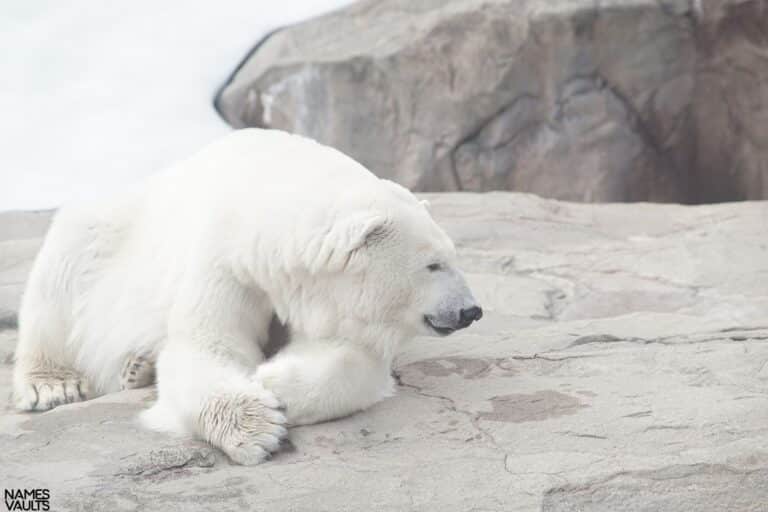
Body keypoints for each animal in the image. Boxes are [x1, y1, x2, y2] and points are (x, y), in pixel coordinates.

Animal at [13, 128, 482, 464]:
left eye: (452, 255)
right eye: (433, 265)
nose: (471, 310)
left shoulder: (323, 298)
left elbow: (354, 356)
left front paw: (274, 382)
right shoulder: (226, 260)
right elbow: (206, 346)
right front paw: (258, 426)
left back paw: (137, 368)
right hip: (105, 235)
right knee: (62, 273)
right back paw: (53, 385)